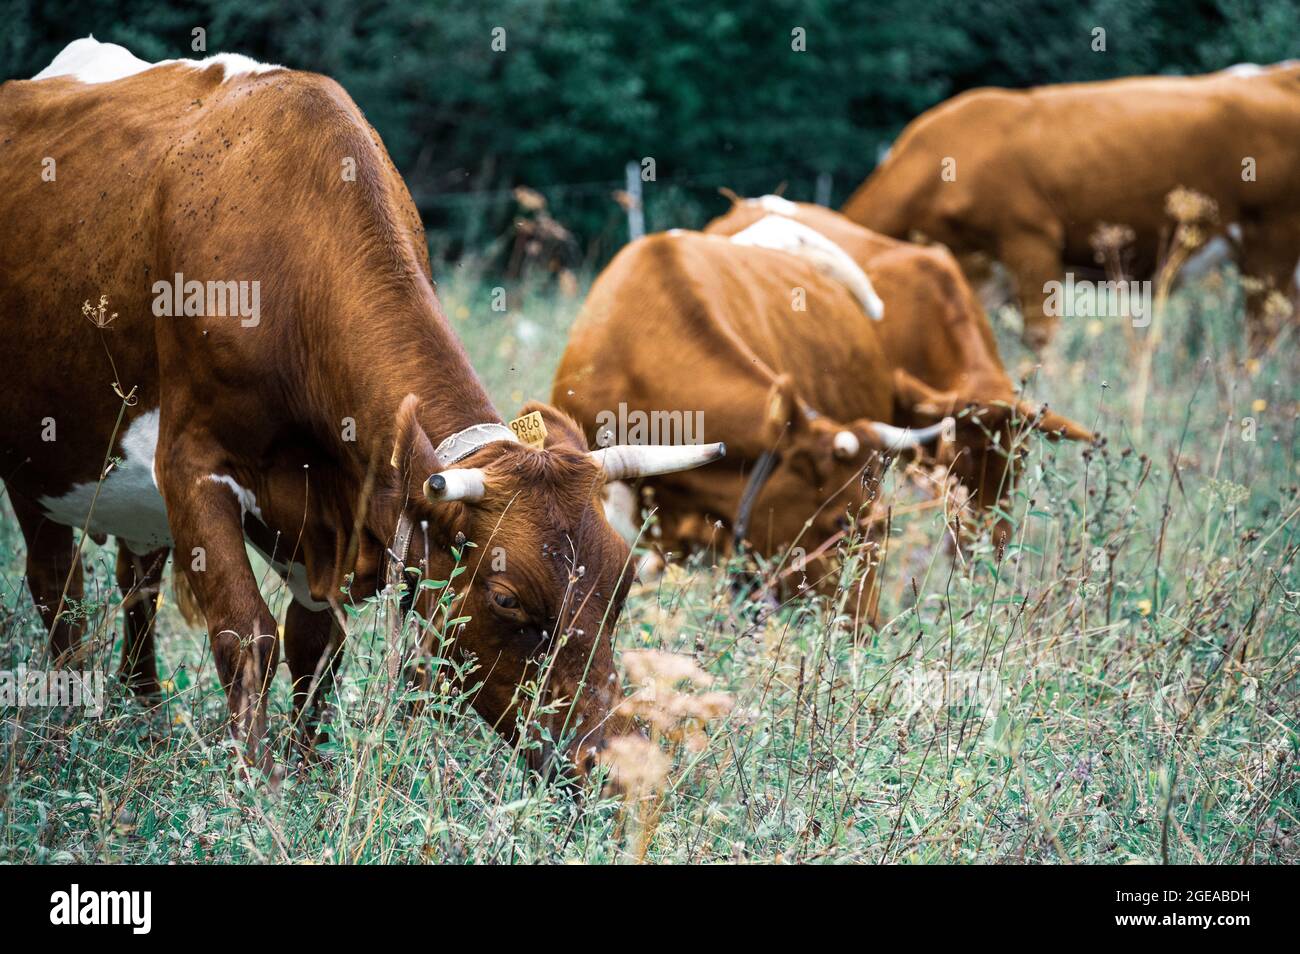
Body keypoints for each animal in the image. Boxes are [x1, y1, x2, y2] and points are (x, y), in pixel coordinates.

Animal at [0, 37, 724, 775]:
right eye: (507, 600)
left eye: (622, 585)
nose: (611, 761)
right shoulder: (190, 465)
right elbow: (247, 634)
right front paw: (257, 785)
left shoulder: (335, 513)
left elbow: (314, 643)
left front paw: (305, 765)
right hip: (36, 465)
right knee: (58, 589)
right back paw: (70, 728)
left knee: (135, 580)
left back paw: (144, 714)